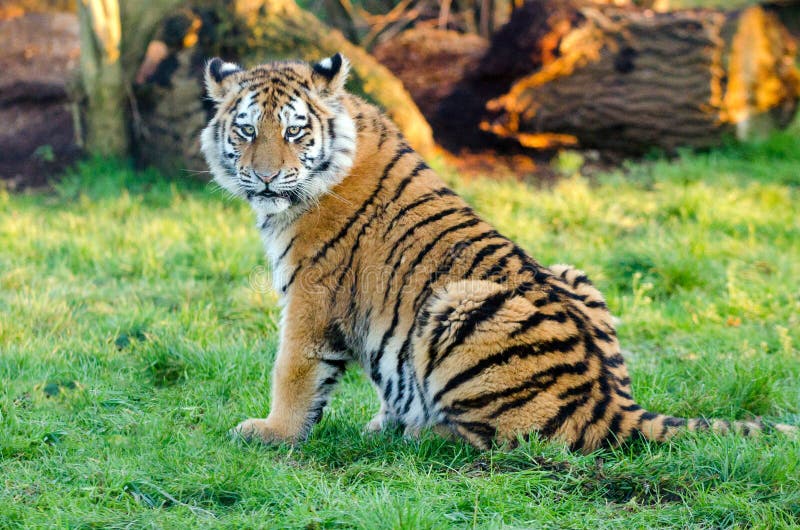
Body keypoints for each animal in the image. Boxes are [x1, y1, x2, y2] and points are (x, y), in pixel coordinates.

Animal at [200, 53, 796, 452]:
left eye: (295, 132)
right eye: (246, 131)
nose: (266, 176)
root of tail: (615, 407)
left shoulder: (310, 296)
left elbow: (294, 370)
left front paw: (272, 433)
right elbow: (381, 380)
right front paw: (378, 421)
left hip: (462, 303)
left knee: (508, 443)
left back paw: (422, 434)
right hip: (572, 274)